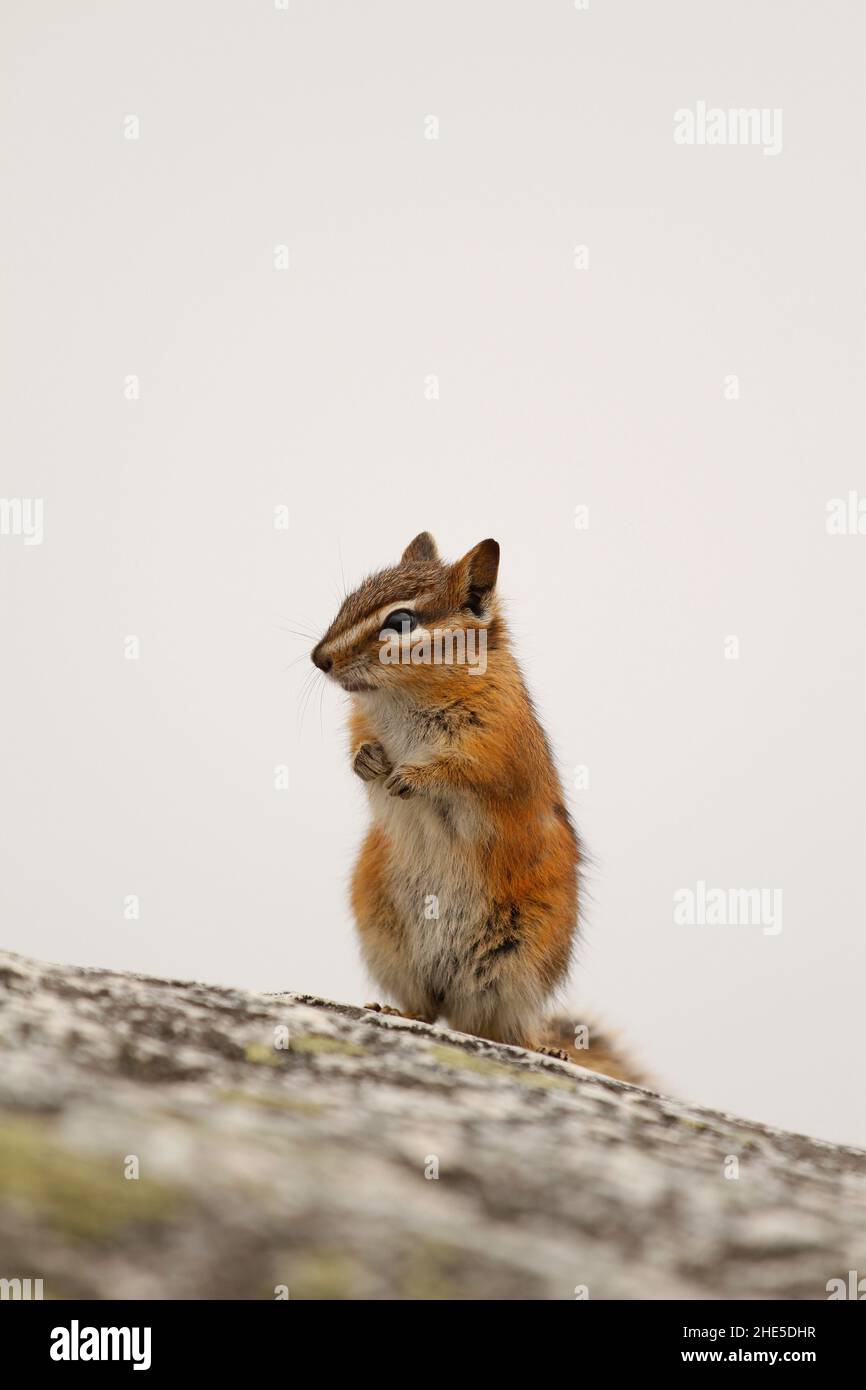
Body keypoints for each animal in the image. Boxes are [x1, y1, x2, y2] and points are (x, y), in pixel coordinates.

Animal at [312, 531, 644, 1085]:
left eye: (401, 622)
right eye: (347, 601)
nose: (318, 659)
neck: (403, 698)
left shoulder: (494, 746)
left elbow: (461, 772)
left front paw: (411, 777)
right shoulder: (363, 722)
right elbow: (359, 748)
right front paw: (368, 762)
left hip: (520, 966)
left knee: (510, 1028)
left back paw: (545, 1049)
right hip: (387, 938)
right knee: (426, 1009)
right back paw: (394, 1010)